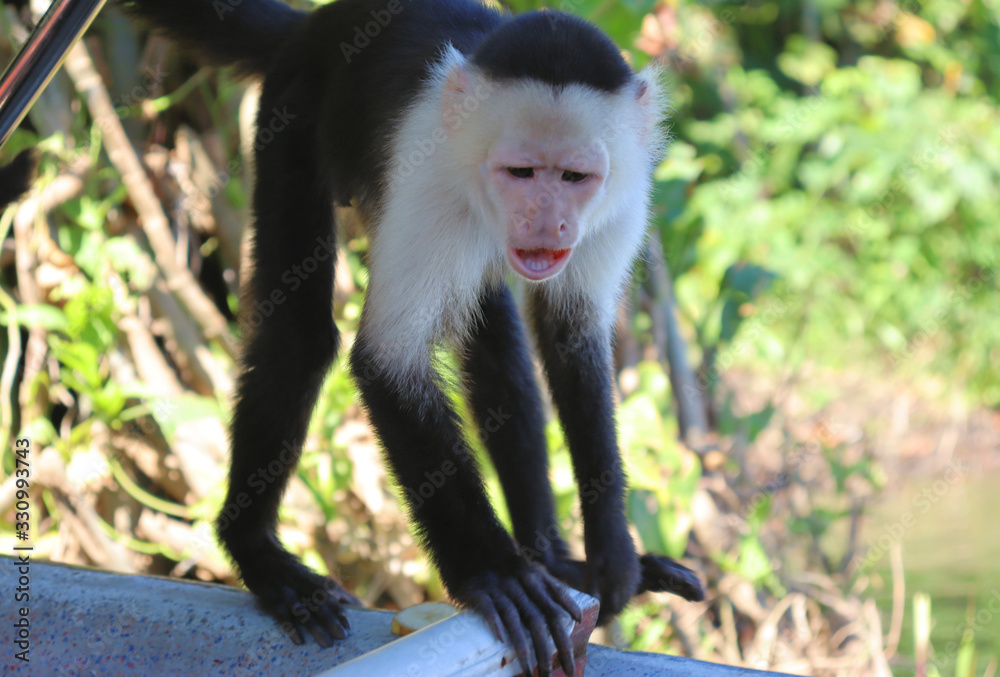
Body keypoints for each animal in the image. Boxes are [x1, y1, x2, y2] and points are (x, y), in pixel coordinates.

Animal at [120, 0, 704, 674]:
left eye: (575, 176)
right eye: (522, 172)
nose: (548, 220)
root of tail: (315, 25)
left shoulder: (625, 198)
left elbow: (572, 339)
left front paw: (612, 558)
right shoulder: (428, 185)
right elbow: (387, 362)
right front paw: (496, 577)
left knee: (496, 347)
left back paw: (554, 559)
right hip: (293, 108)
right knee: (300, 335)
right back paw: (257, 551)